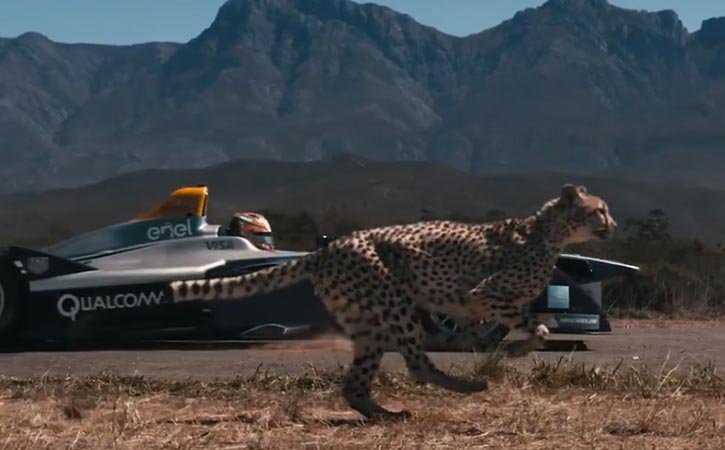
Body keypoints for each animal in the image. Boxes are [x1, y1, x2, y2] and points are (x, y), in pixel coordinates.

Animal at [169, 184, 617, 420]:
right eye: (600, 210)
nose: (612, 225)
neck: (549, 232)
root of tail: (329, 249)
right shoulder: (483, 293)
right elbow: (533, 326)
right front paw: (512, 351)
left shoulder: (478, 301)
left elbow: (513, 325)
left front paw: (500, 348)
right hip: (394, 304)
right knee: (416, 363)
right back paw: (467, 385)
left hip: (368, 324)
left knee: (355, 384)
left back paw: (384, 413)